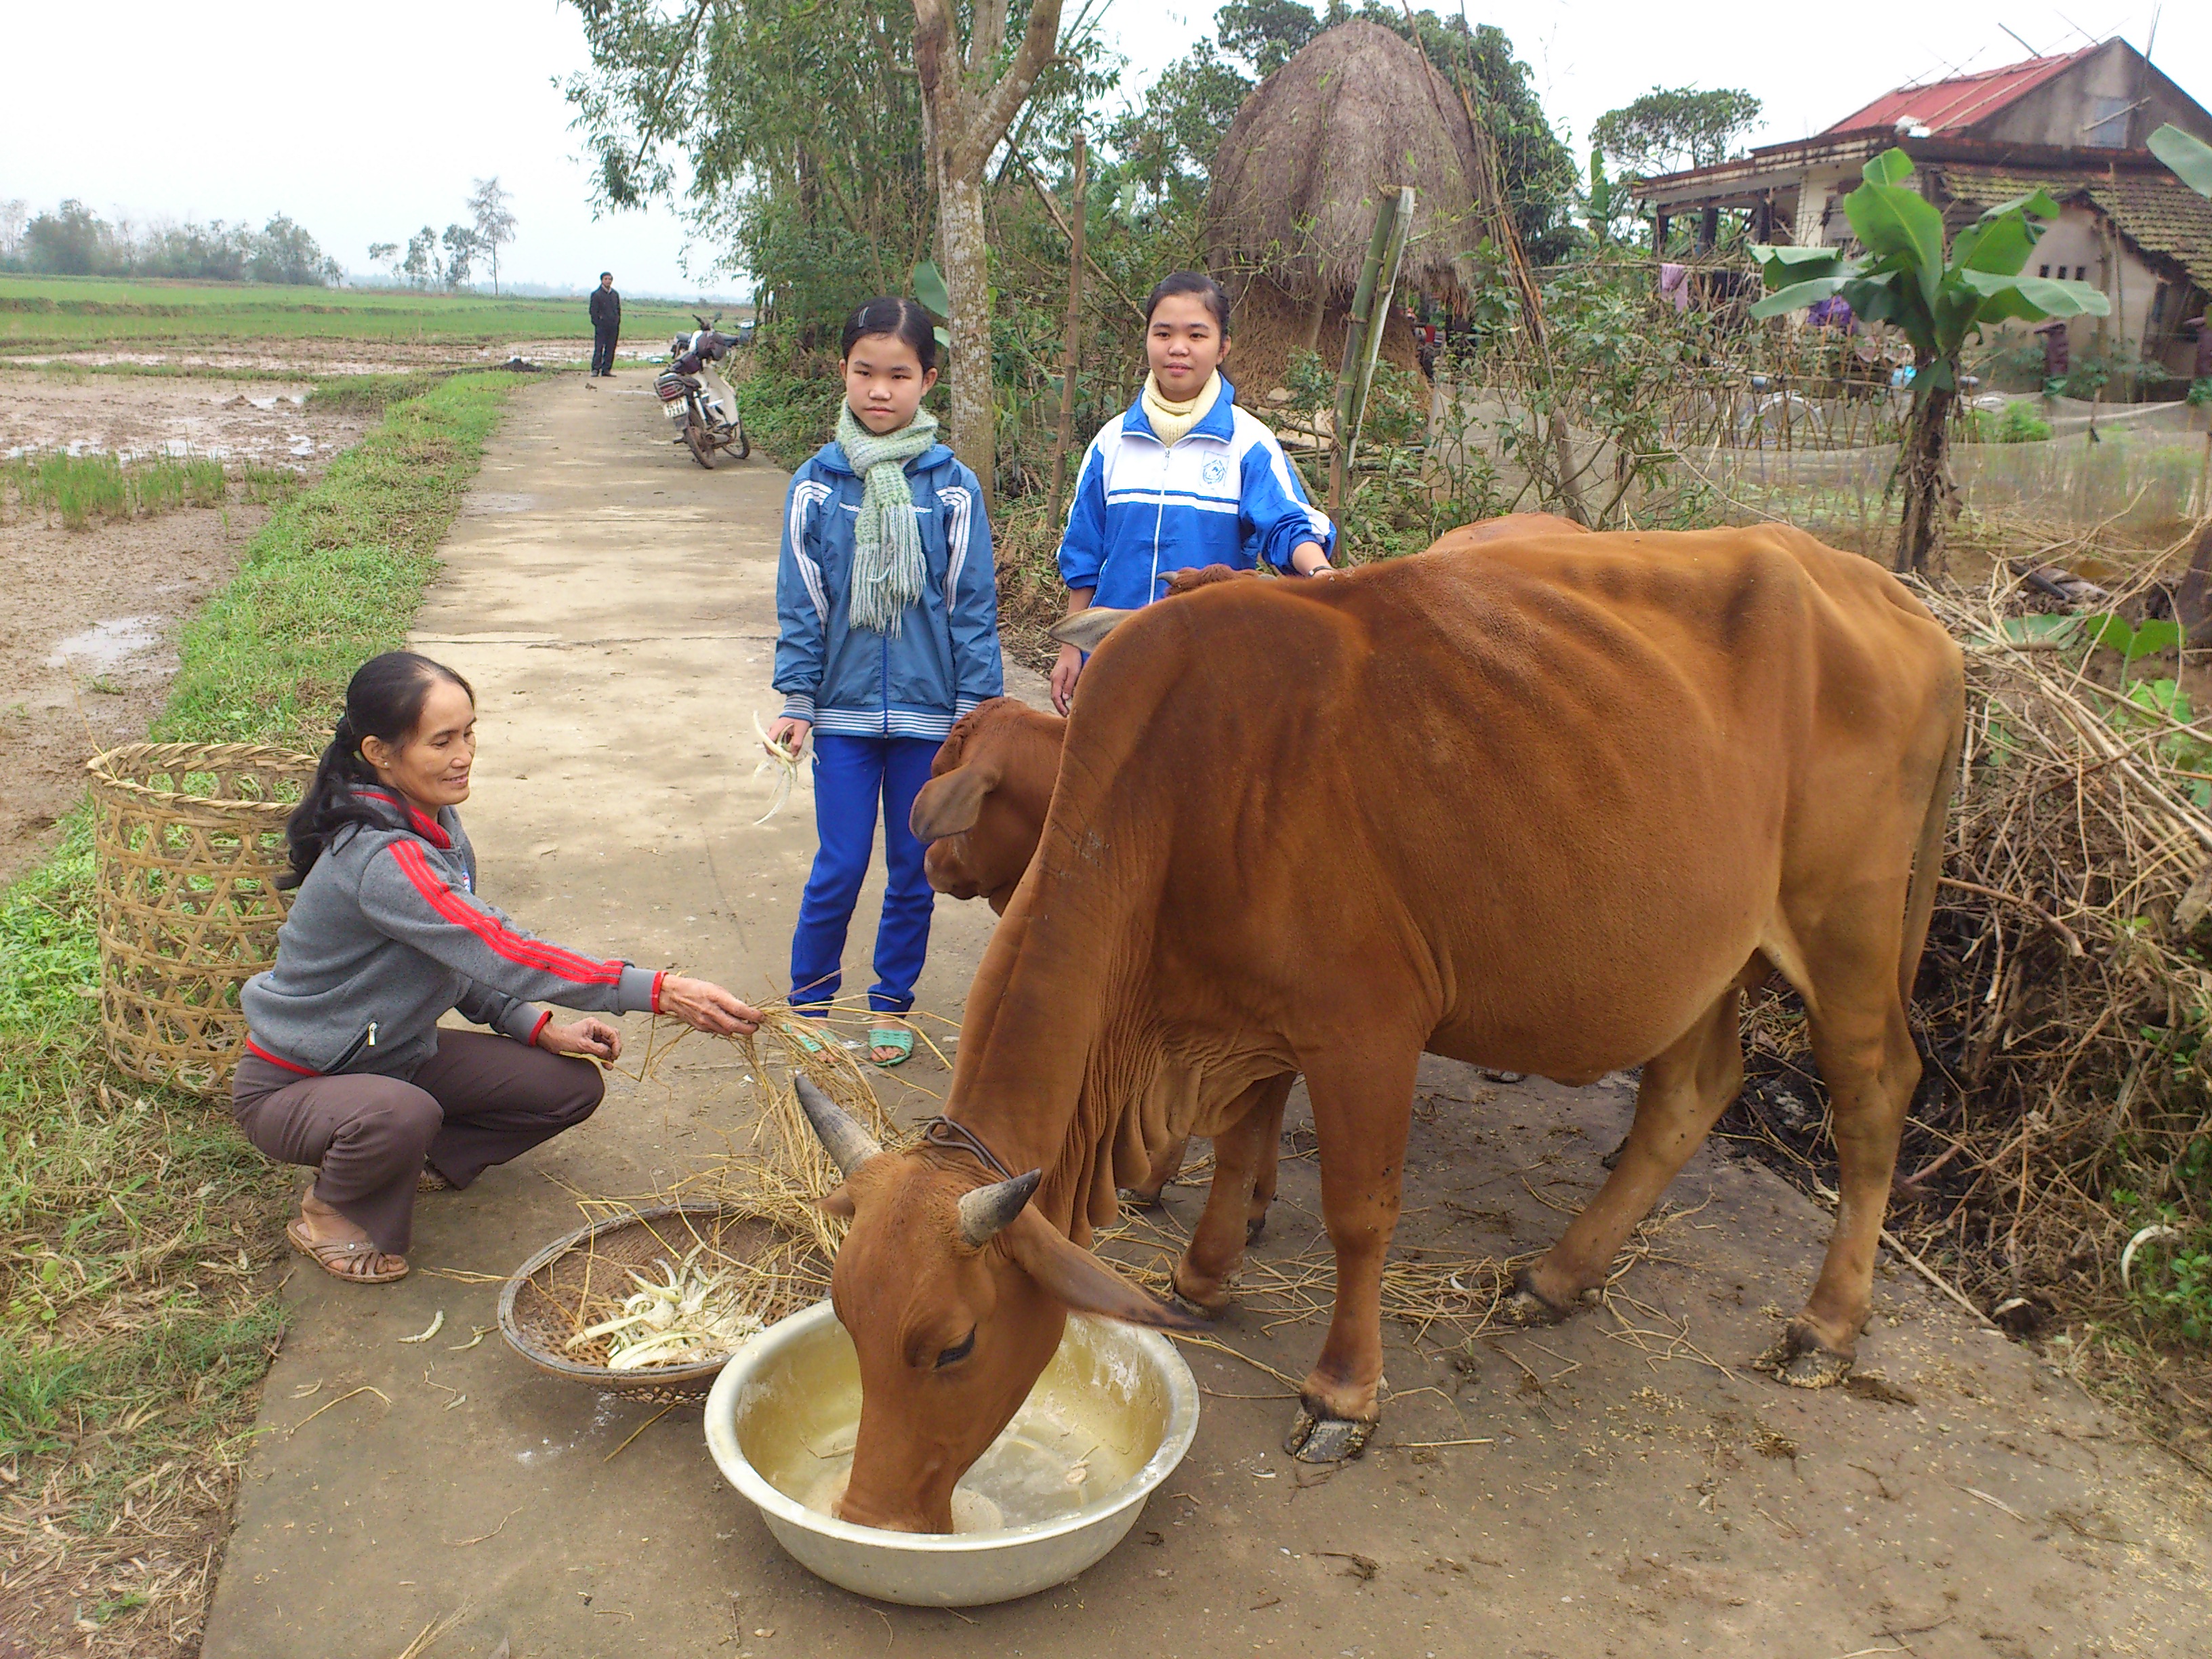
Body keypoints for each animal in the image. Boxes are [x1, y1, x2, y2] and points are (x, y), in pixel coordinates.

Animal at [796, 521, 1963, 1534]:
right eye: (845, 1318)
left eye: (953, 1347)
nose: (872, 1513)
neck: (1179, 791)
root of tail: (1906, 607)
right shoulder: (1242, 1019)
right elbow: (1241, 1144)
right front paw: (1206, 1275)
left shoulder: (1363, 1029)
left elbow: (1359, 1212)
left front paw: (1342, 1396)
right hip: (1704, 946)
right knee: (1693, 1091)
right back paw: (1558, 1275)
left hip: (1847, 925)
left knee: (1875, 1098)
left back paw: (1826, 1324)